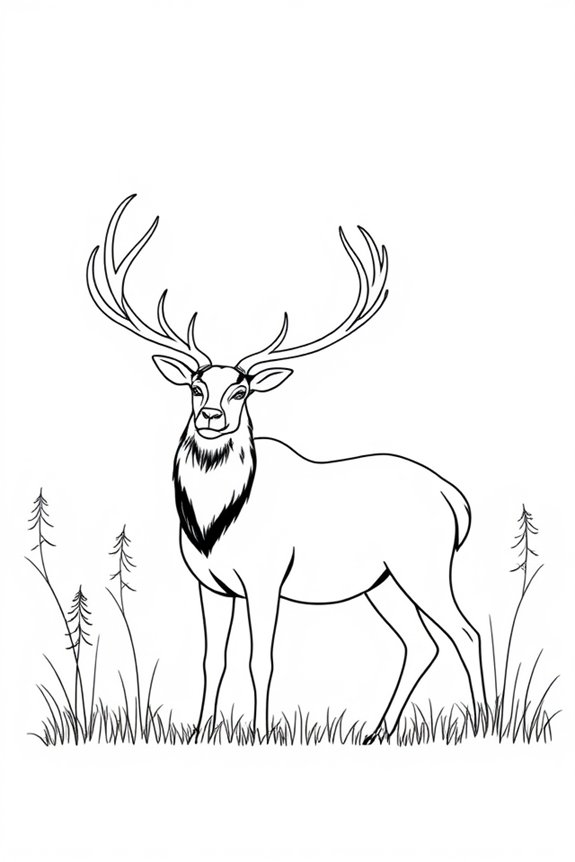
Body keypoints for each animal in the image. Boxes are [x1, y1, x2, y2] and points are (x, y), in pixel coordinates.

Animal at [86, 195, 486, 743]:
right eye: (195, 386)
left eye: (241, 390)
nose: (211, 417)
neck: (212, 524)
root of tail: (456, 500)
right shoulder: (209, 584)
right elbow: (213, 659)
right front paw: (201, 731)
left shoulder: (266, 578)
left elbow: (262, 660)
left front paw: (259, 732)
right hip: (382, 583)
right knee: (421, 643)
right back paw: (375, 731)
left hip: (422, 565)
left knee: (466, 632)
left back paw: (486, 722)